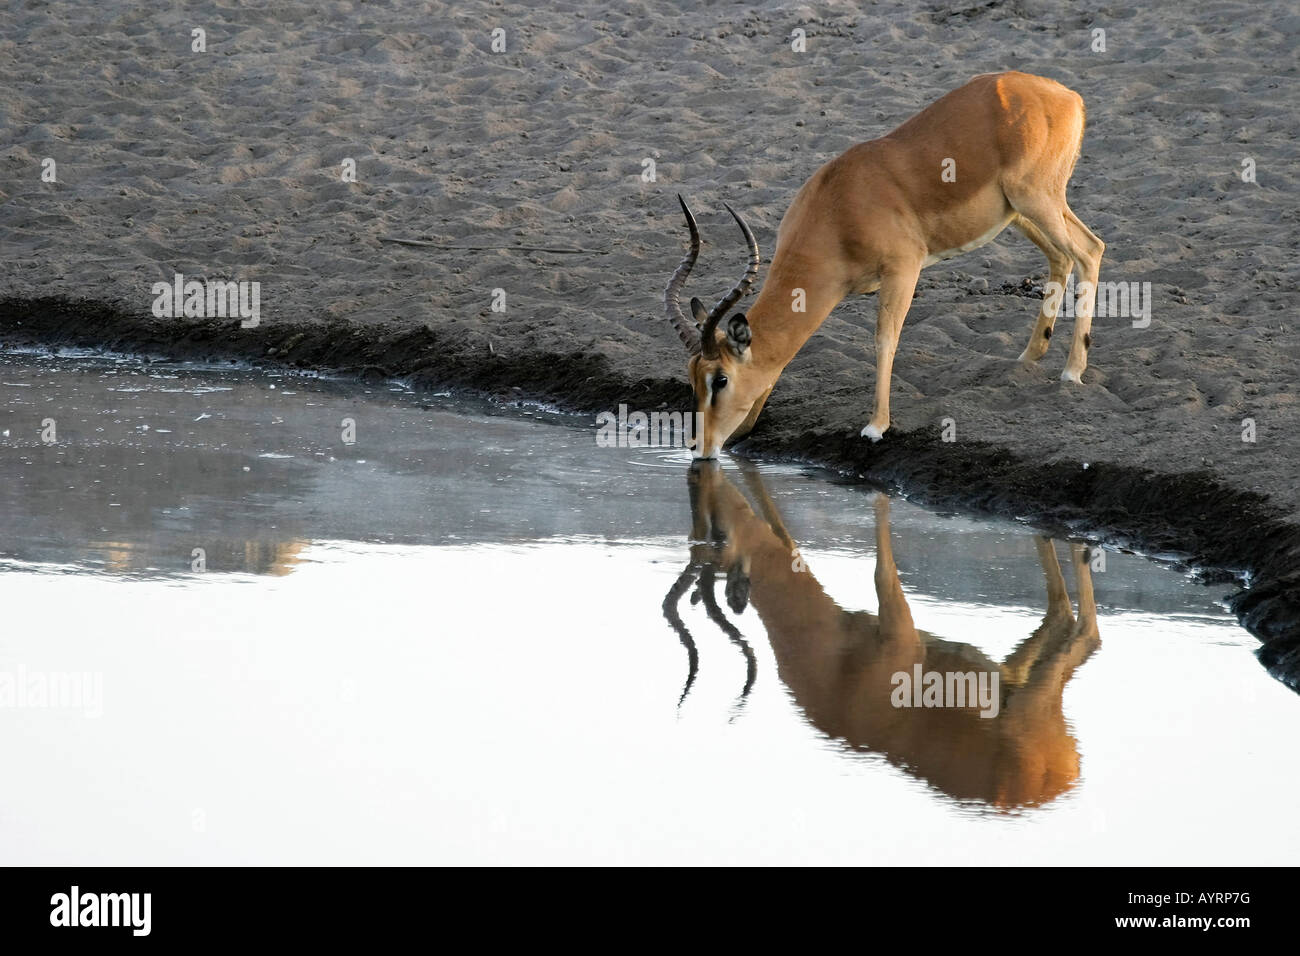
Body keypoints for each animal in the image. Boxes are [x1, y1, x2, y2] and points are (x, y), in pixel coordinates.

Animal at [663, 71, 1105, 459]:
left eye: (720, 379)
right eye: (690, 377)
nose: (698, 447)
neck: (838, 208)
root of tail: (1066, 96)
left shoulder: (903, 271)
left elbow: (884, 340)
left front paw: (875, 427)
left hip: (1037, 201)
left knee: (1090, 250)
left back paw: (1072, 371)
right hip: (1017, 213)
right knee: (1061, 256)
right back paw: (1029, 357)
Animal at [665, 462, 1101, 808]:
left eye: (719, 537)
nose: (698, 472)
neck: (834, 675)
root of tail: (1062, 782)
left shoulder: (901, 635)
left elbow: (881, 571)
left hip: (1024, 704)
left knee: (1085, 633)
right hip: (1012, 680)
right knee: (1061, 616)